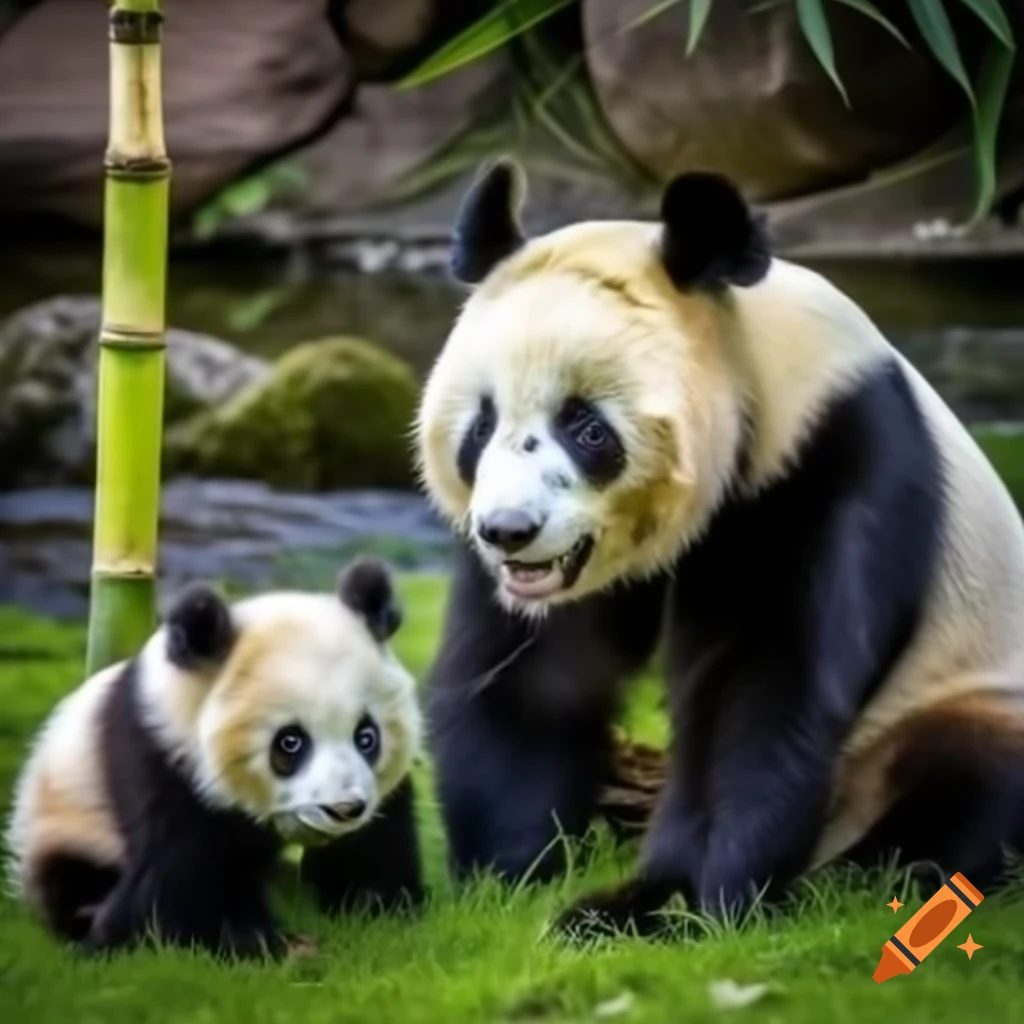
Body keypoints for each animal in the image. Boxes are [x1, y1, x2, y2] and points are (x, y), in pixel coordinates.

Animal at [4, 557, 423, 958]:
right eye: (290, 743)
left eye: (367, 737)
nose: (345, 809)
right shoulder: (163, 761)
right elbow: (184, 874)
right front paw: (247, 940)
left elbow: (374, 844)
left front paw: (375, 905)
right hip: (65, 824)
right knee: (69, 879)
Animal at [415, 158, 1024, 937]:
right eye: (482, 426)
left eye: (586, 427)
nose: (509, 532)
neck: (762, 357)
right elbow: (536, 674)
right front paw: (514, 873)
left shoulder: (824, 455)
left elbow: (762, 688)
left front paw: (696, 897)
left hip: (961, 690)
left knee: (969, 788)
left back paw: (869, 876)